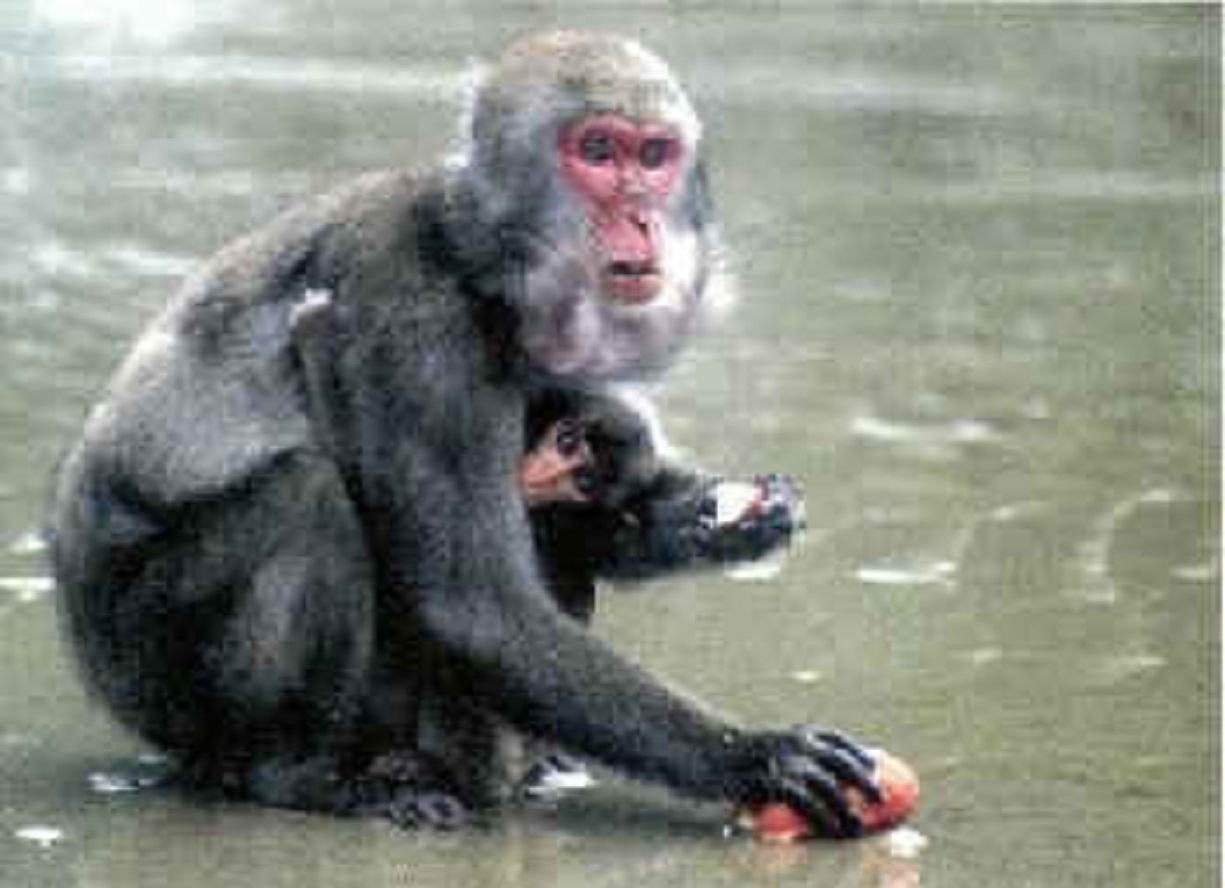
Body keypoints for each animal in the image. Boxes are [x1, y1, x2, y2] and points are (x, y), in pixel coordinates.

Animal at [48, 31, 880, 834]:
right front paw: (753, 756)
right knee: (302, 497)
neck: (472, 253)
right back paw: (301, 775)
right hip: (151, 666)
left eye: (653, 155)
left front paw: (726, 518)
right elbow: (471, 604)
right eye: (597, 151)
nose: (642, 218)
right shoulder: (413, 319)